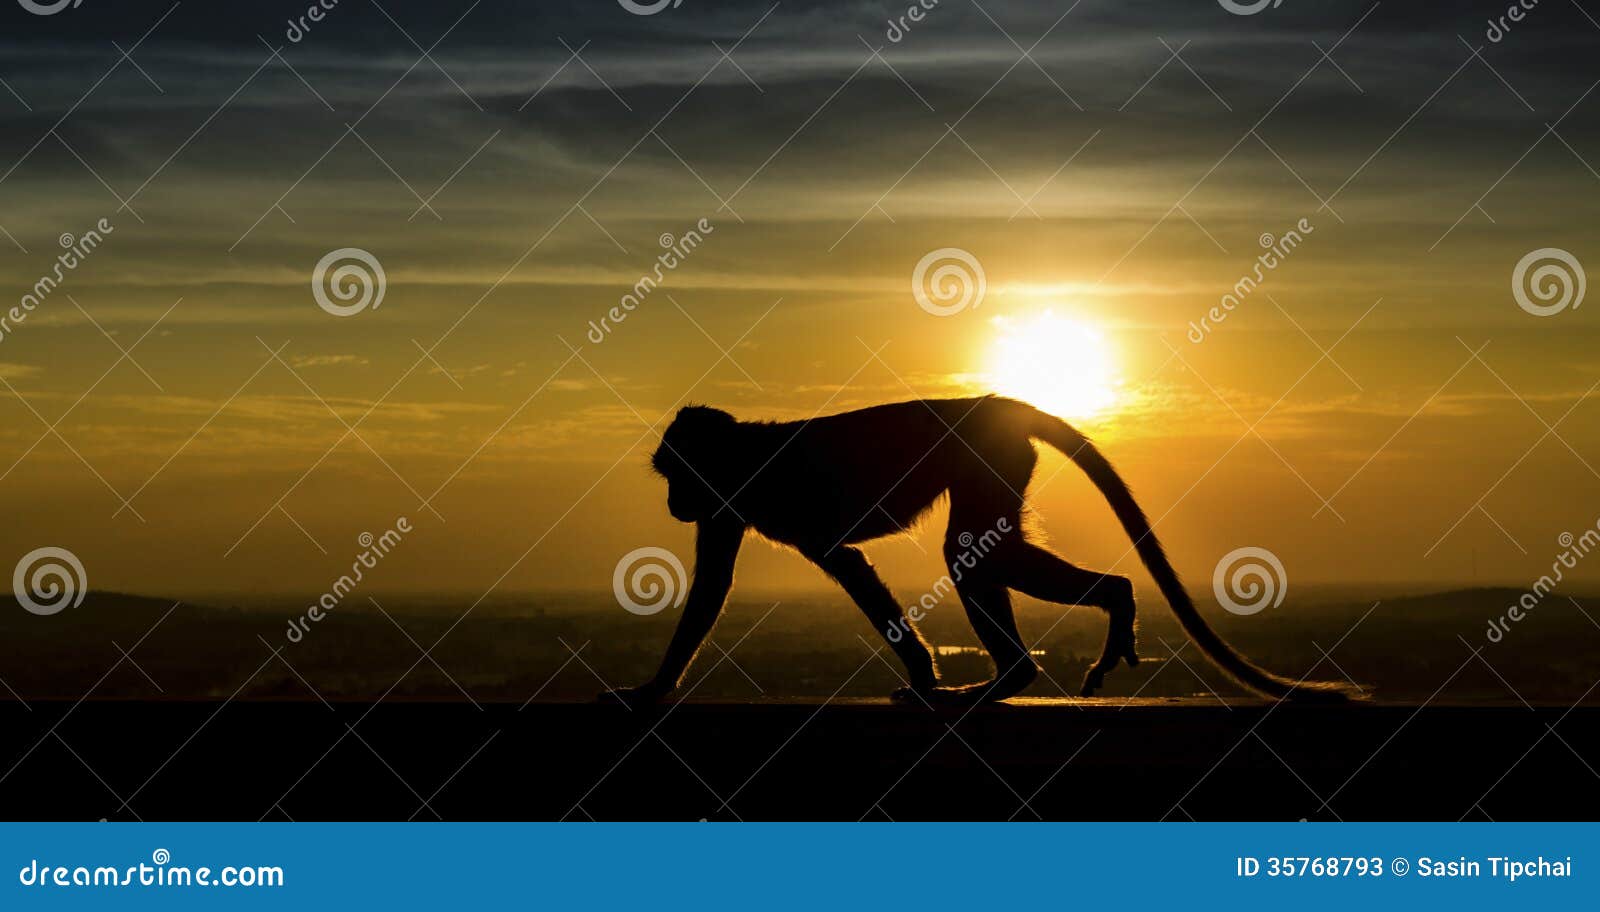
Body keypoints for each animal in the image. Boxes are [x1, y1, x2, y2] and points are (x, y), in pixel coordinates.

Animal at [602, 395, 1353, 706]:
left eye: (673, 473)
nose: (672, 504)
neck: (741, 459)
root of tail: (995, 403)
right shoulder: (725, 504)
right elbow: (711, 585)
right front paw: (655, 686)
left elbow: (844, 562)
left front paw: (922, 675)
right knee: (978, 551)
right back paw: (1021, 668)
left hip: (987, 455)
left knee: (968, 551)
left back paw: (1083, 622)